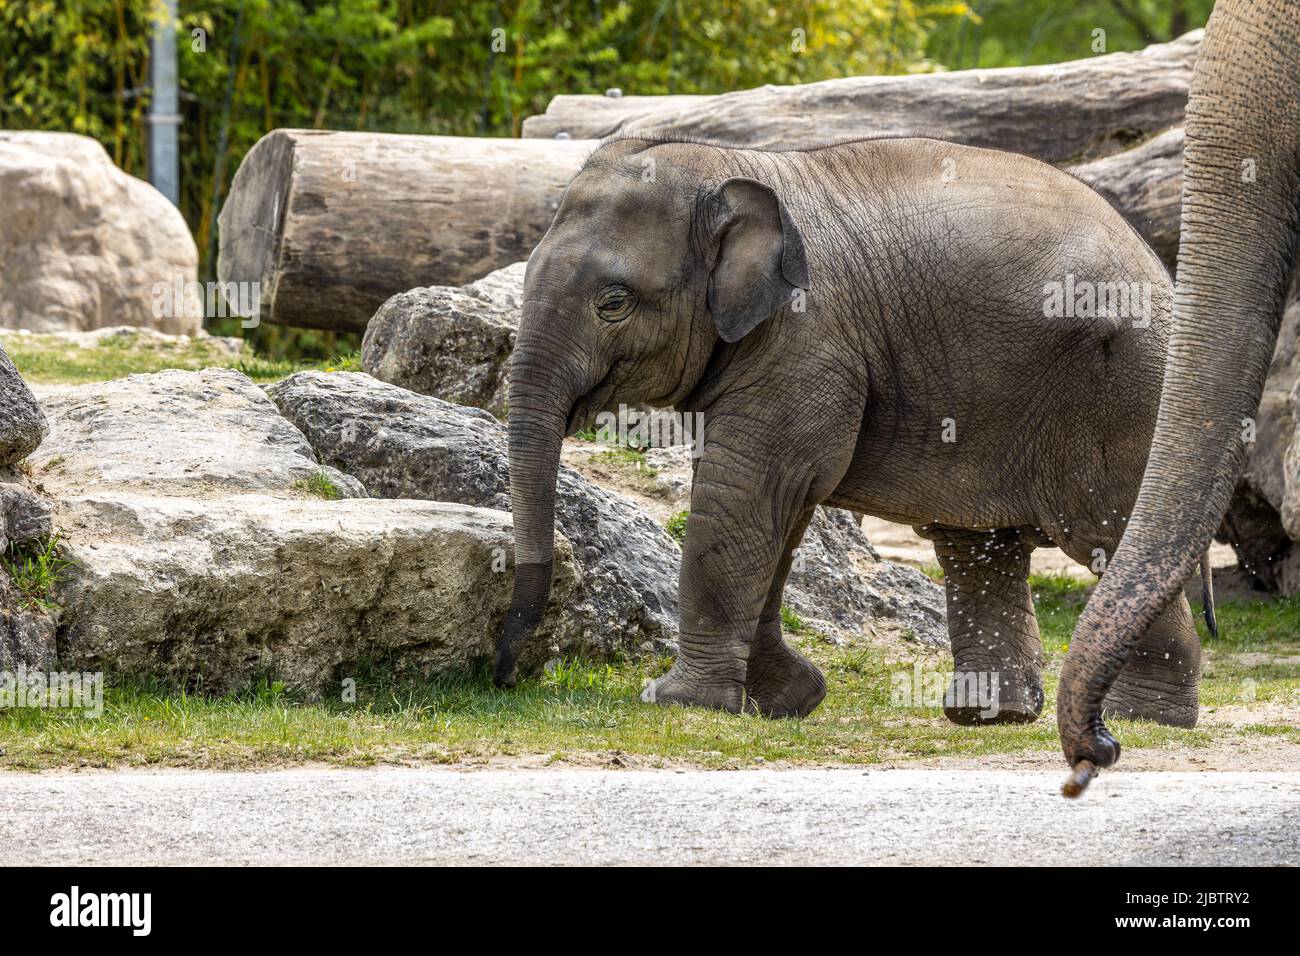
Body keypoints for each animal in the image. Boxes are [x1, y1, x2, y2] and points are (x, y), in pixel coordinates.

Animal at [496, 131, 1212, 727]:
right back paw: (989, 716)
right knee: (979, 545)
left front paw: (680, 703)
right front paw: (789, 700)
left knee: (1107, 536)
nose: (503, 675)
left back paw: (1143, 718)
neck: (728, 166)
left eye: (613, 303)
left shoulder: (809, 337)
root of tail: (1164, 271)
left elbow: (746, 489)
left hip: (1123, 393)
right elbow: (771, 504)